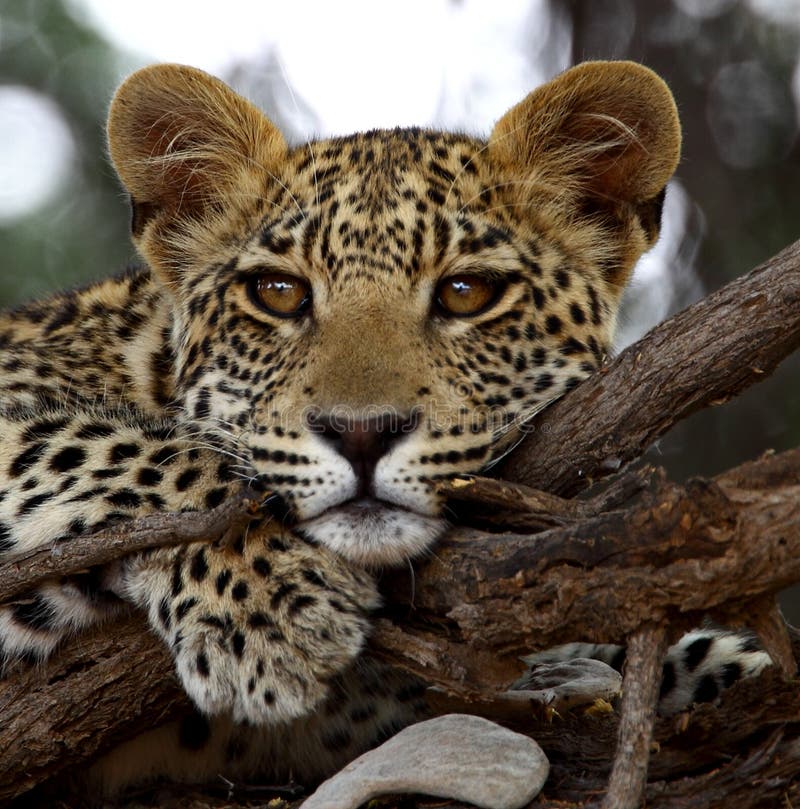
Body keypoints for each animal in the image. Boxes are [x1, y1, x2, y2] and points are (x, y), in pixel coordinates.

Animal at [0, 60, 771, 800]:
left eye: (467, 293)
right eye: (278, 292)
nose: (363, 433)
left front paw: (714, 667)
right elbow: (119, 446)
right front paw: (275, 601)